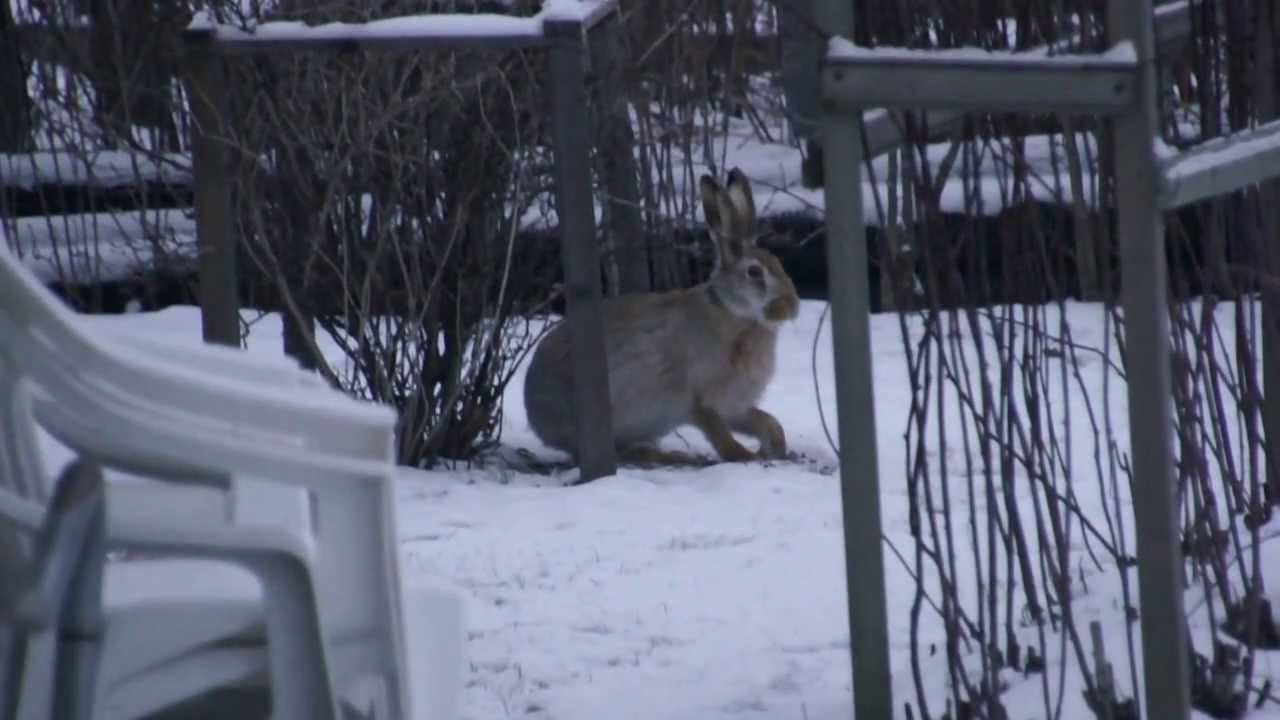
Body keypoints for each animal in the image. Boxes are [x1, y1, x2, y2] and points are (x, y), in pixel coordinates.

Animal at [523, 167, 800, 465]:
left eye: (779, 263)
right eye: (754, 272)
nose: (792, 307)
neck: (734, 313)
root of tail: (534, 410)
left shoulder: (735, 406)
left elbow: (764, 420)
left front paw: (776, 448)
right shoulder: (698, 401)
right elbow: (718, 433)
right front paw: (744, 456)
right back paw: (667, 455)